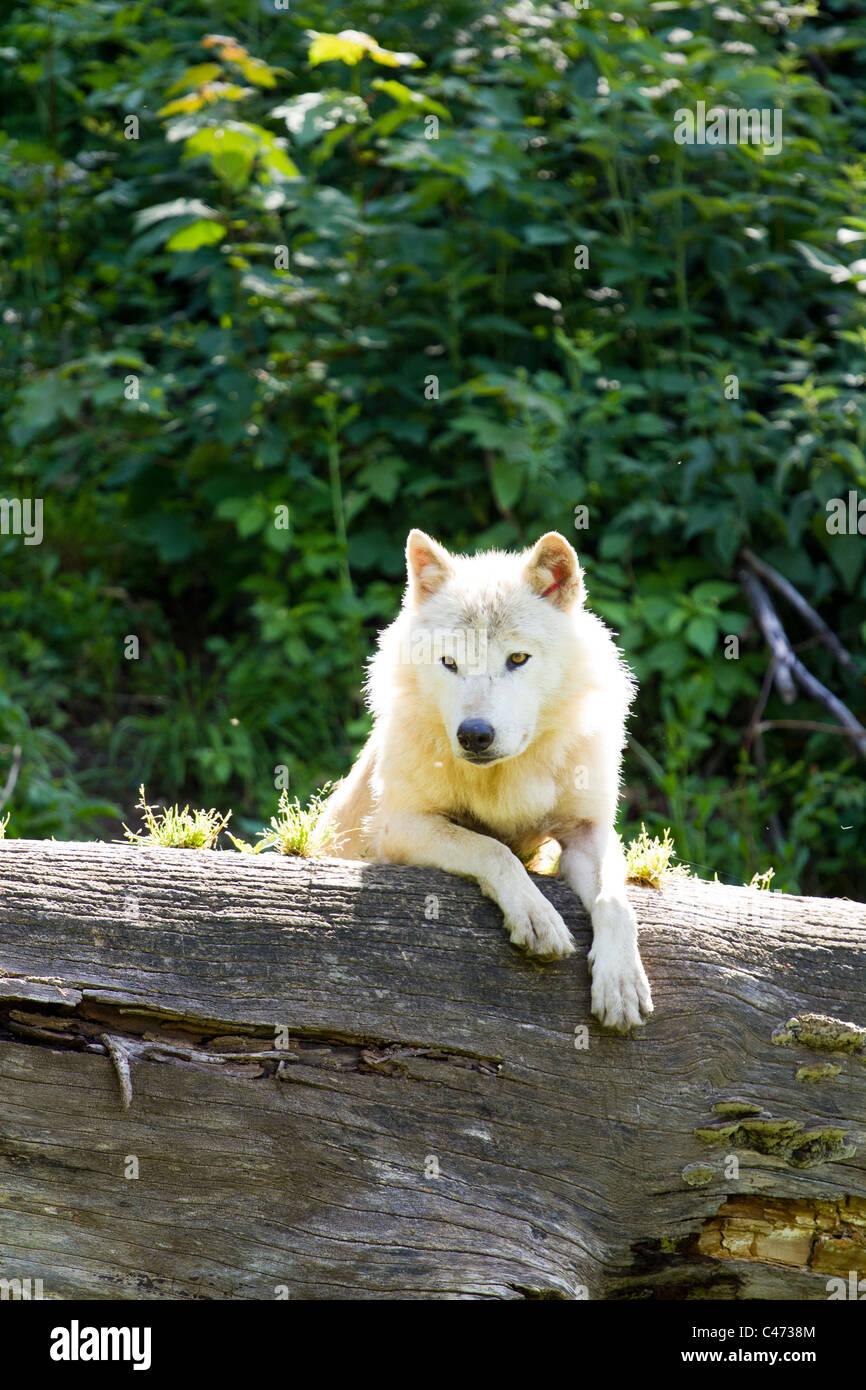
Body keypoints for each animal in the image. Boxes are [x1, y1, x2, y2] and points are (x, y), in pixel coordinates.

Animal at [322, 530, 653, 1031]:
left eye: (517, 658)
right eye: (449, 663)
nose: (474, 735)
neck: (504, 776)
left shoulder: (587, 831)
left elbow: (616, 902)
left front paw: (621, 983)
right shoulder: (400, 827)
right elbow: (493, 850)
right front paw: (536, 917)